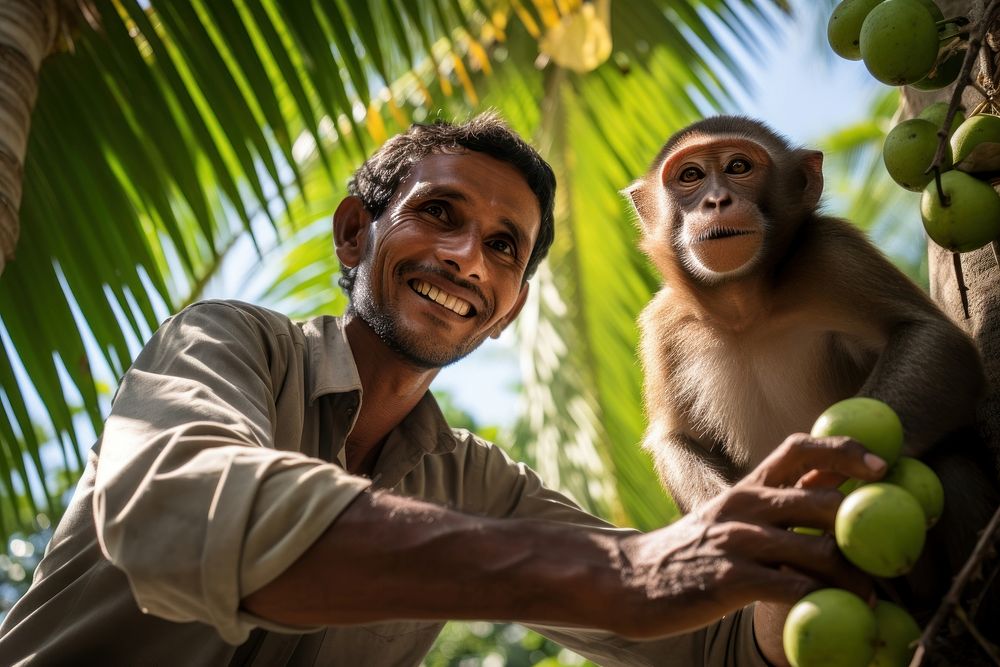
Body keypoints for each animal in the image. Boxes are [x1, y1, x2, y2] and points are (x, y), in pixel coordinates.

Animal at [626, 115, 999, 648]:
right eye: (690, 176)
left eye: (738, 167)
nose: (715, 201)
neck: (746, 307)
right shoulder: (663, 325)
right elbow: (677, 438)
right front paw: (737, 526)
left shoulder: (833, 252)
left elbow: (933, 339)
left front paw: (822, 487)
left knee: (950, 464)